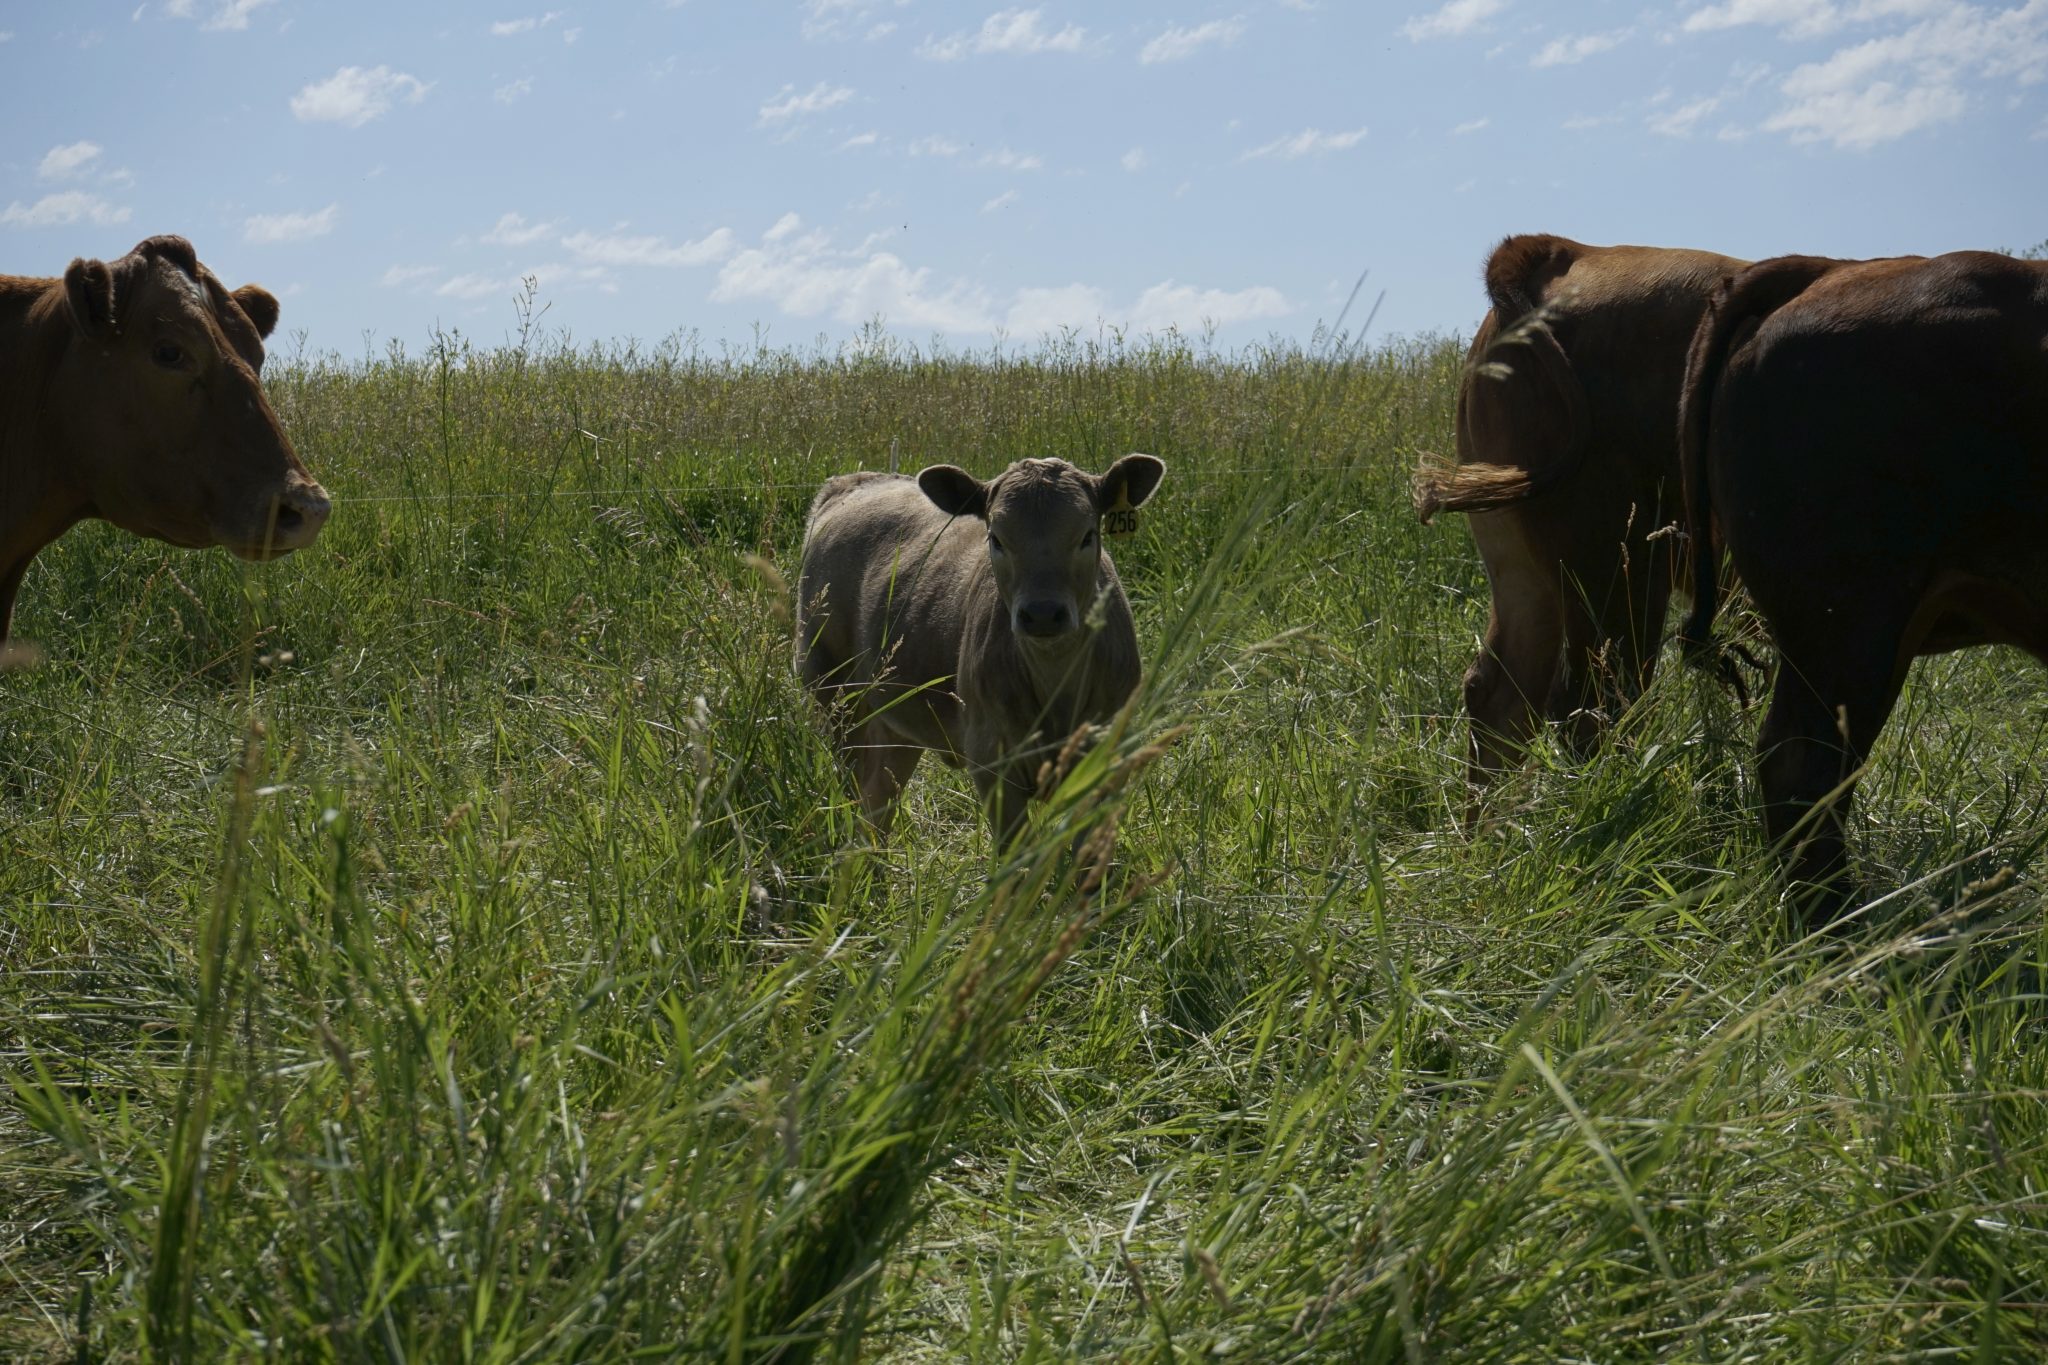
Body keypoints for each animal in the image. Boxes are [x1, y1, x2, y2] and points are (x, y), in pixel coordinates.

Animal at [794, 454, 1166, 846]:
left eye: (1087, 535)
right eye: (996, 538)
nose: (1043, 613)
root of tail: (855, 481)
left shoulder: (1106, 755)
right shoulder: (993, 762)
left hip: (894, 722)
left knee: (877, 802)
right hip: (835, 695)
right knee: (853, 790)